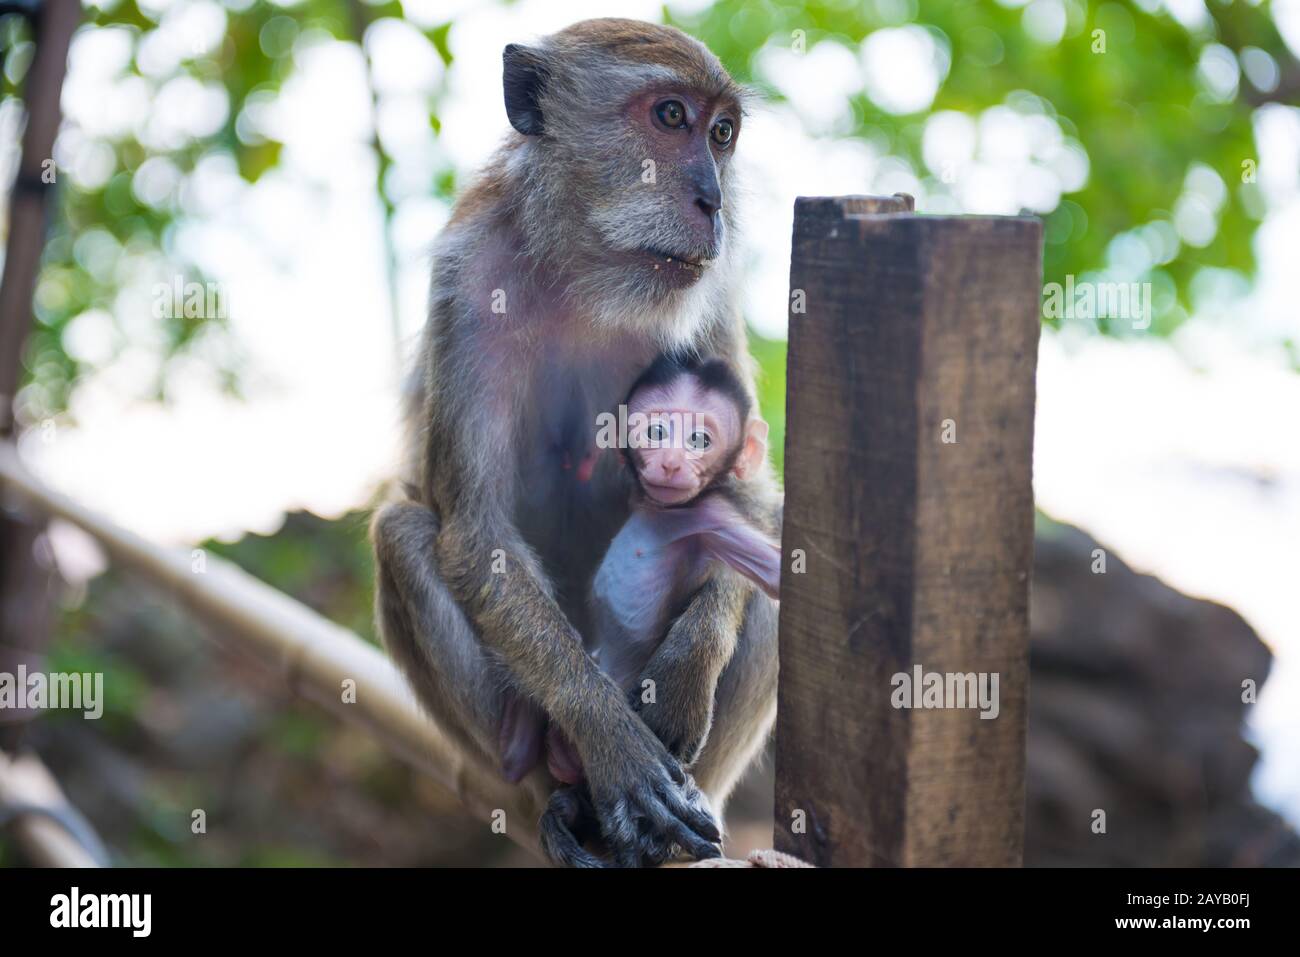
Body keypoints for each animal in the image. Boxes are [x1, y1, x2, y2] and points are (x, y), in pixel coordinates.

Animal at [370, 19, 781, 868]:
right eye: (670, 117)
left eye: (722, 134)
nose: (712, 200)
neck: (591, 271)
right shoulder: (467, 279)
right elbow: (478, 533)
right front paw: (608, 736)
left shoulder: (713, 288)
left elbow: (749, 494)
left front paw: (691, 660)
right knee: (401, 530)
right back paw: (558, 794)